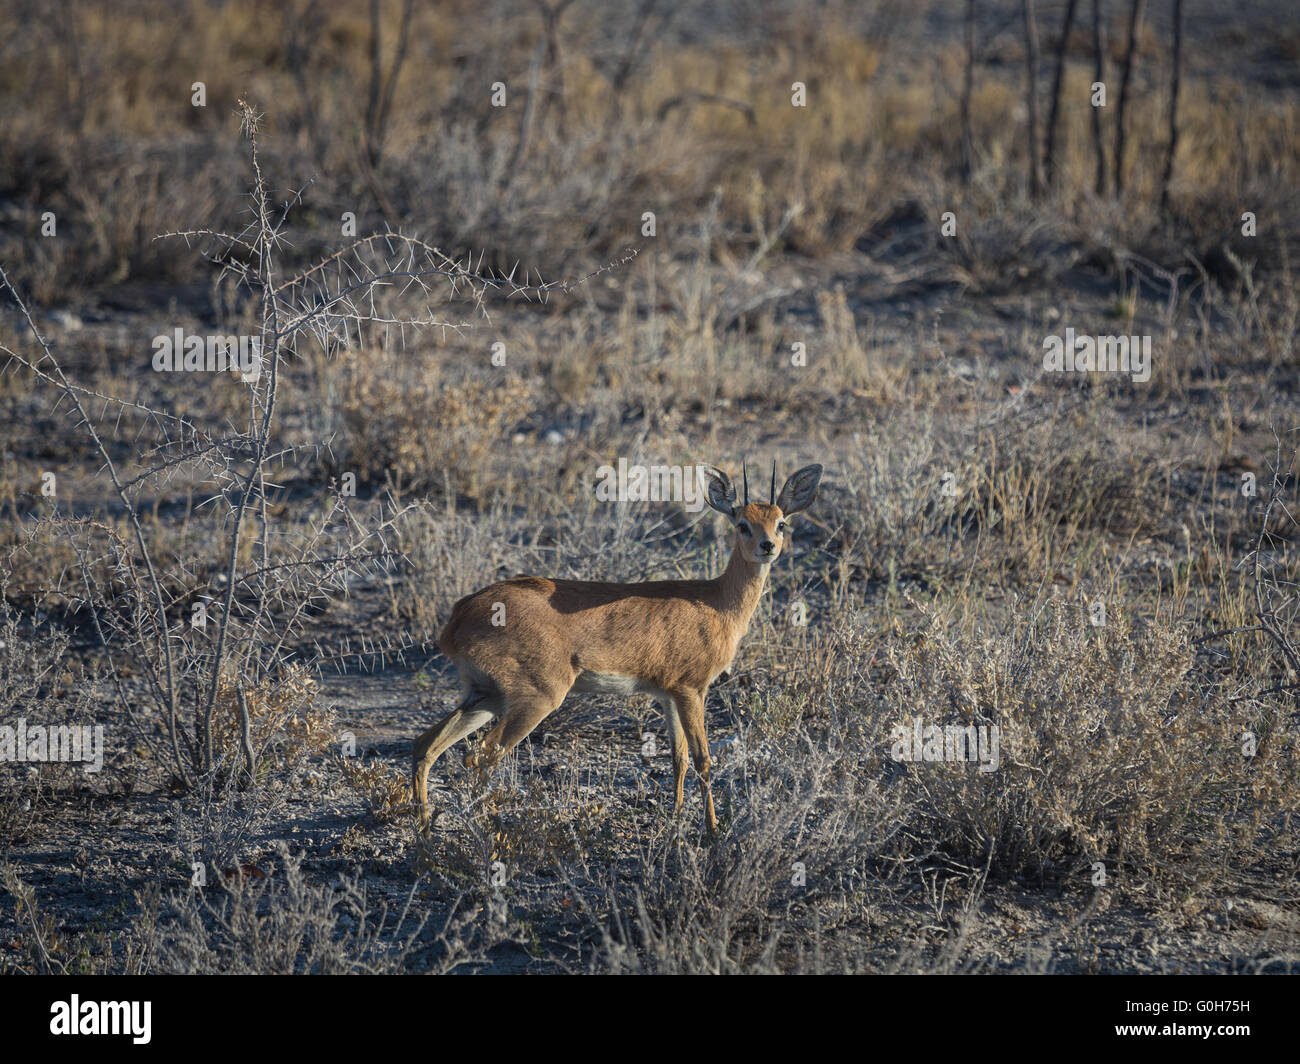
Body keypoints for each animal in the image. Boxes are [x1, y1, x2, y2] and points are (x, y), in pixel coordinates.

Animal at [412, 461, 823, 836]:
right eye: (742, 524)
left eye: (781, 522)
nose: (768, 546)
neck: (716, 603)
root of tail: (460, 614)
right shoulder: (692, 689)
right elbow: (704, 760)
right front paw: (711, 832)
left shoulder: (668, 694)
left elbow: (679, 758)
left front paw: (676, 822)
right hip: (536, 698)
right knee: (481, 755)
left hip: (485, 695)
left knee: (426, 744)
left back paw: (426, 832)